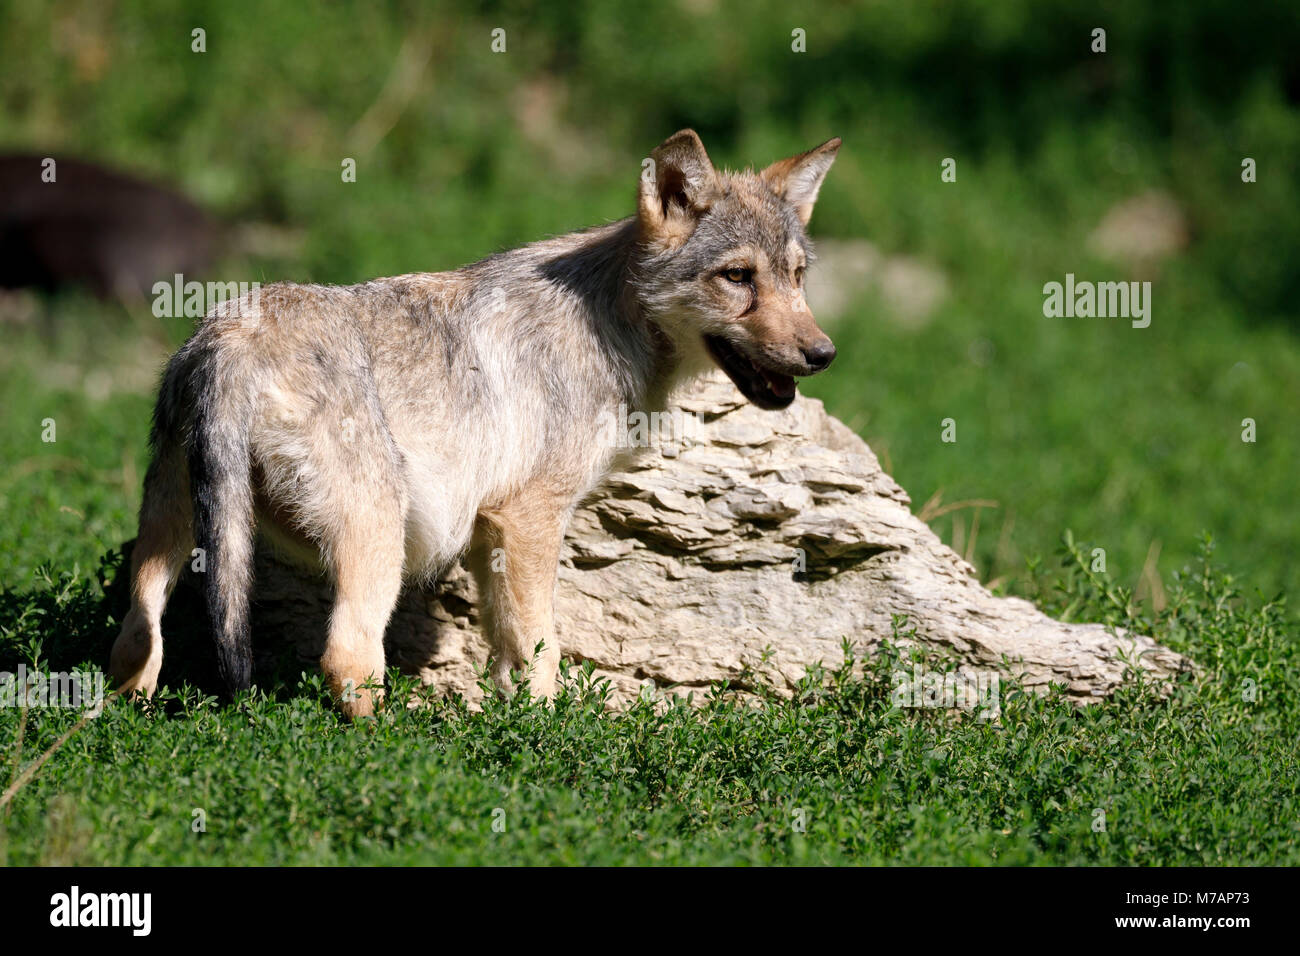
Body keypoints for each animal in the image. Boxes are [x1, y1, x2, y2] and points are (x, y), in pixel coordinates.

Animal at [109, 129, 840, 717]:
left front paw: (507, 722)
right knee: (348, 658)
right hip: (379, 537)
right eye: (738, 277)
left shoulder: (494, 527)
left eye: (797, 277)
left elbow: (510, 650)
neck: (614, 319)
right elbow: (544, 649)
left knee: (134, 642)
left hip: (175, 533)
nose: (823, 355)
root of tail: (228, 339)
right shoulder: (532, 518)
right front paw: (552, 736)